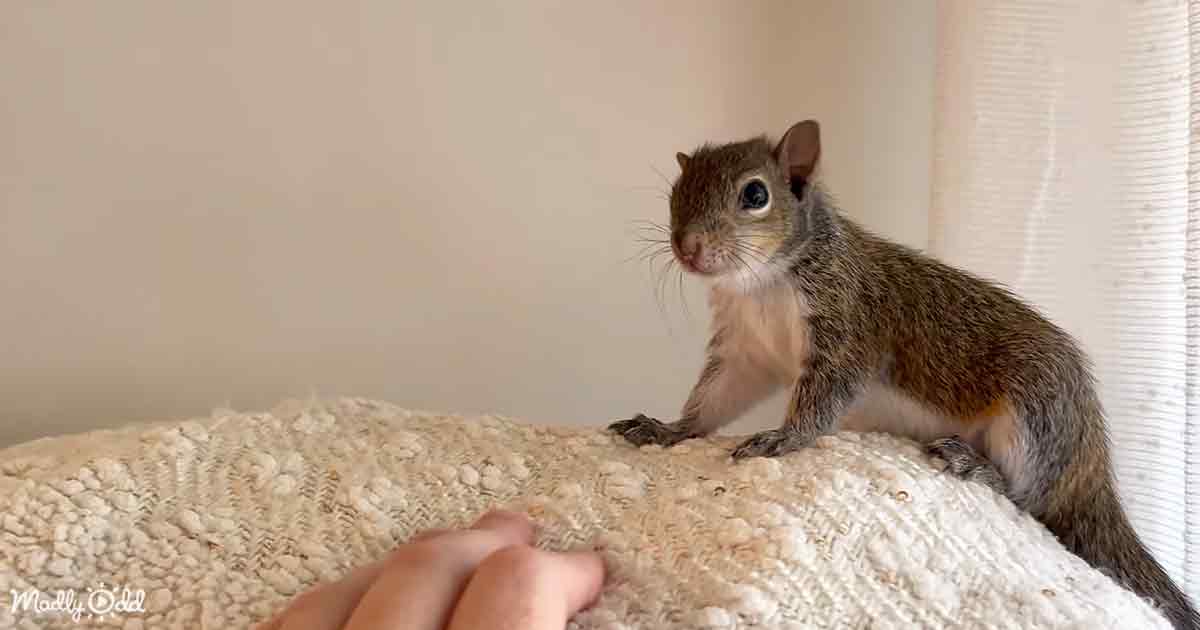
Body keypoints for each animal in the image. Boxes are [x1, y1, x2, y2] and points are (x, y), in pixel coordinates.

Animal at [608, 120, 1199, 629]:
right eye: (675, 192)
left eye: (755, 195)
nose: (687, 248)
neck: (764, 284)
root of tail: (1091, 461)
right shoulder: (745, 351)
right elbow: (716, 398)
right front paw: (669, 429)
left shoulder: (848, 326)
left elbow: (825, 395)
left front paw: (784, 437)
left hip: (1035, 409)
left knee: (1029, 498)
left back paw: (977, 467)